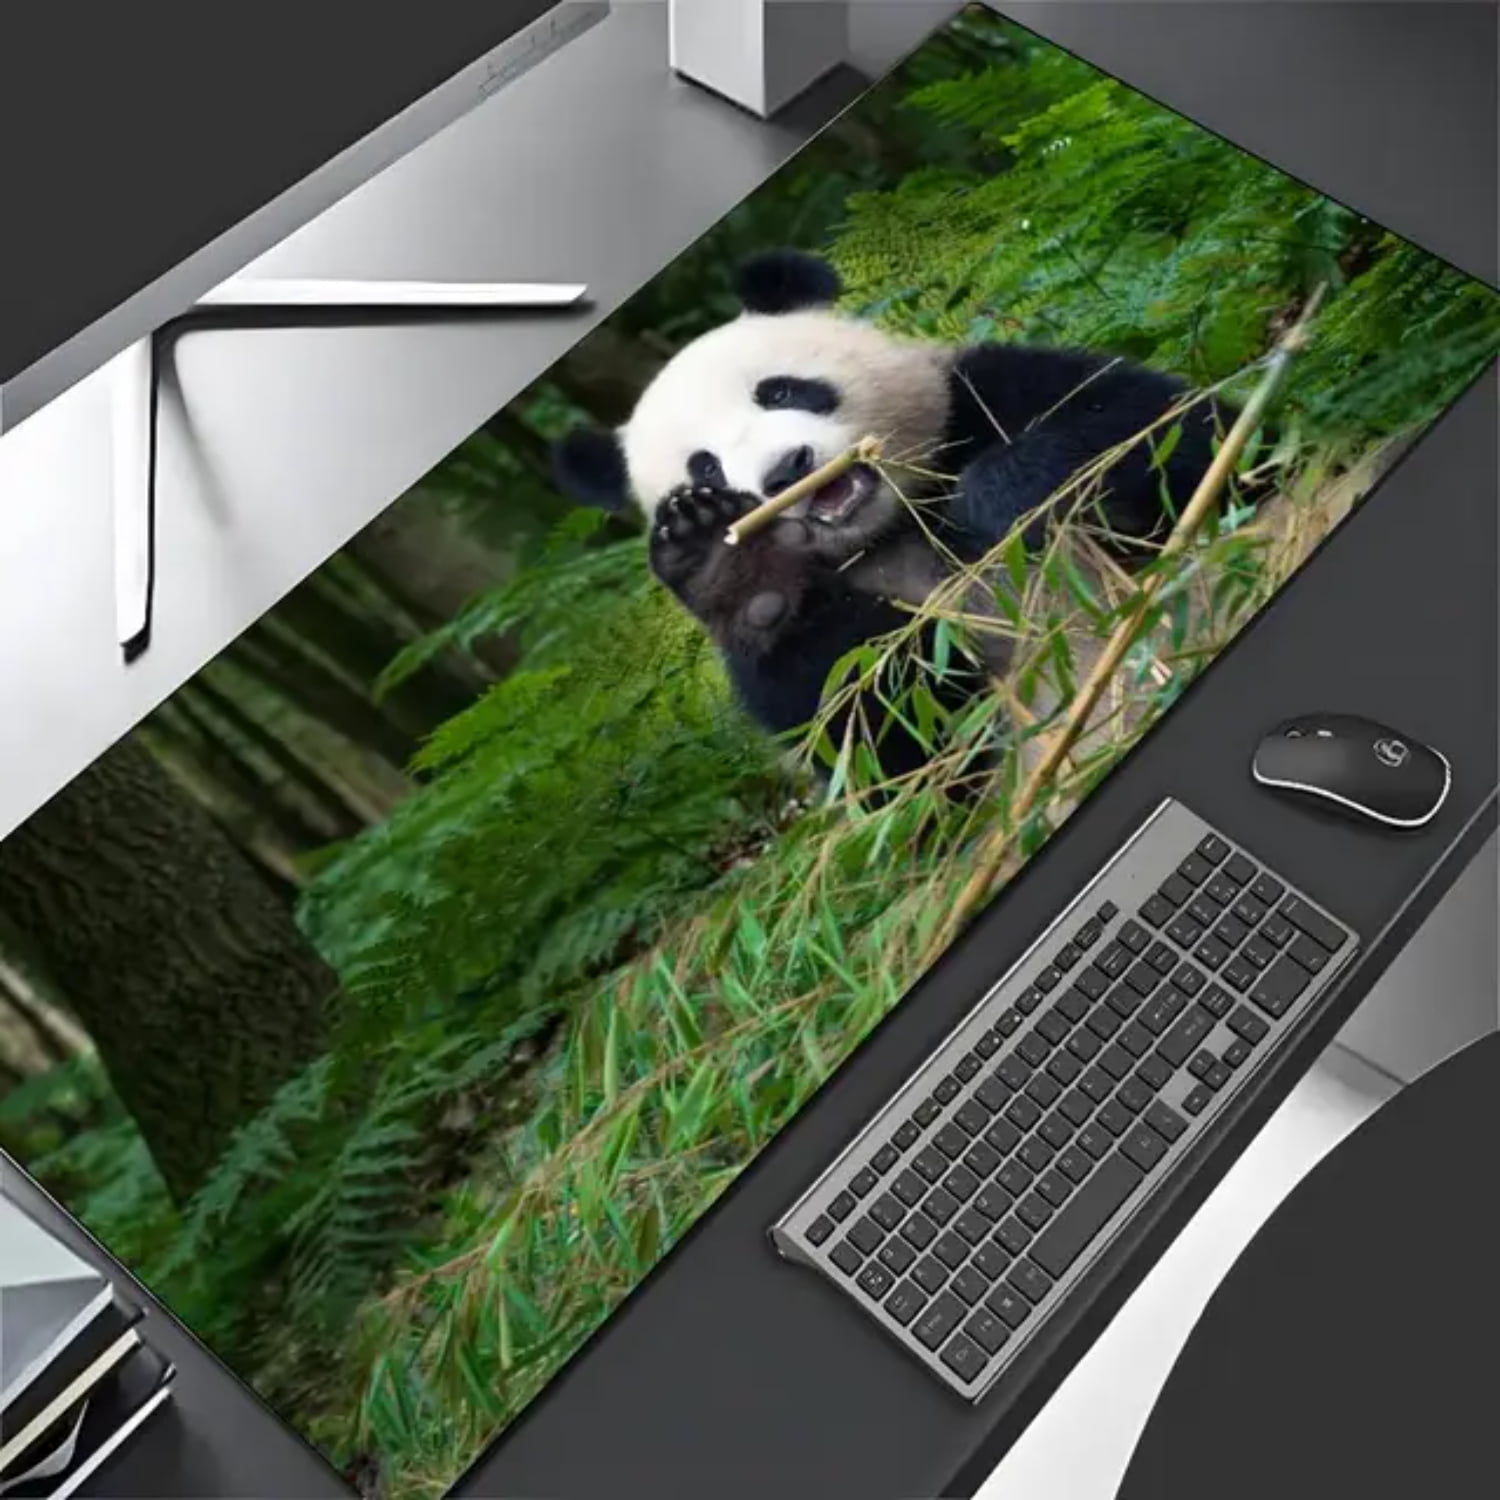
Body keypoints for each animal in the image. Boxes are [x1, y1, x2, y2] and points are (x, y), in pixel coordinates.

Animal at [552, 249, 1239, 786]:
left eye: (781, 391)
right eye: (706, 469)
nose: (787, 471)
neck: (893, 524)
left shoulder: (976, 393)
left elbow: (1170, 431)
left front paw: (1005, 495)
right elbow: (886, 735)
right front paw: (729, 569)